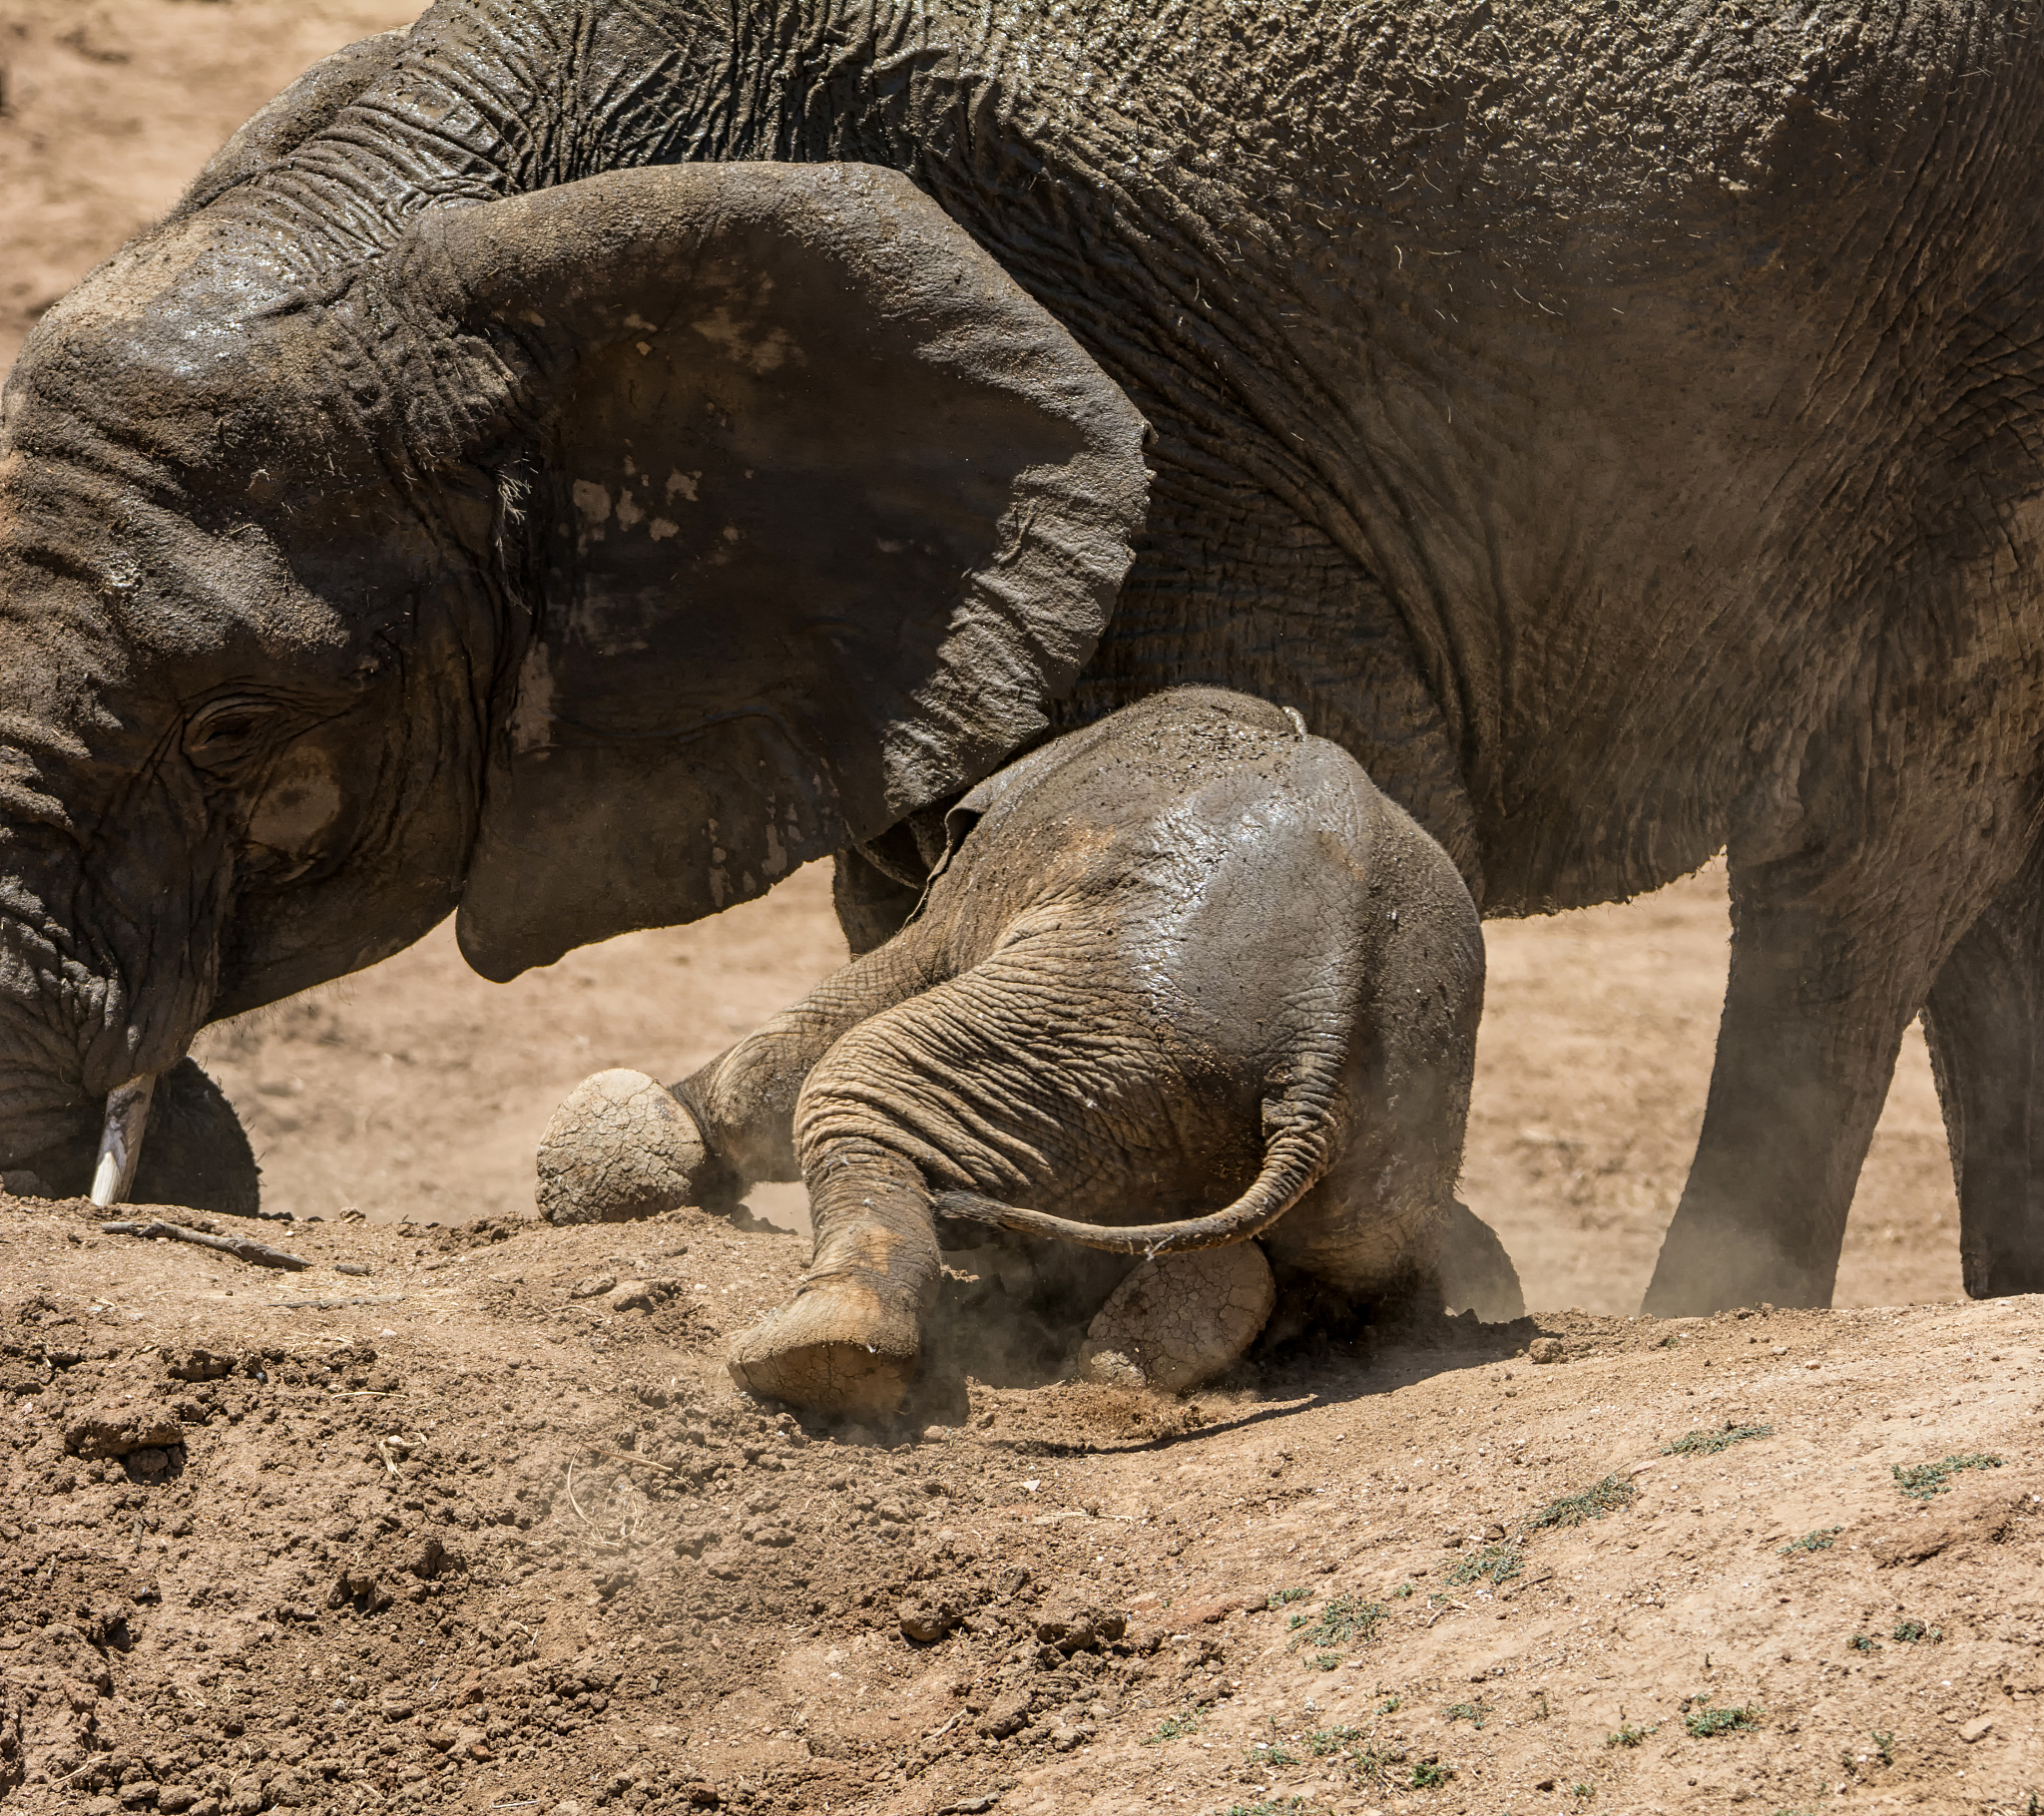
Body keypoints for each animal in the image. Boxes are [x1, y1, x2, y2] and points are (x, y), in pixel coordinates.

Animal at [538, 687, 1496, 1415]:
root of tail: (1314, 1060)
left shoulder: (972, 888)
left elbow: (845, 1016)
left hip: (1088, 1036)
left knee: (864, 1075)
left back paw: (818, 1359)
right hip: (1383, 1146)